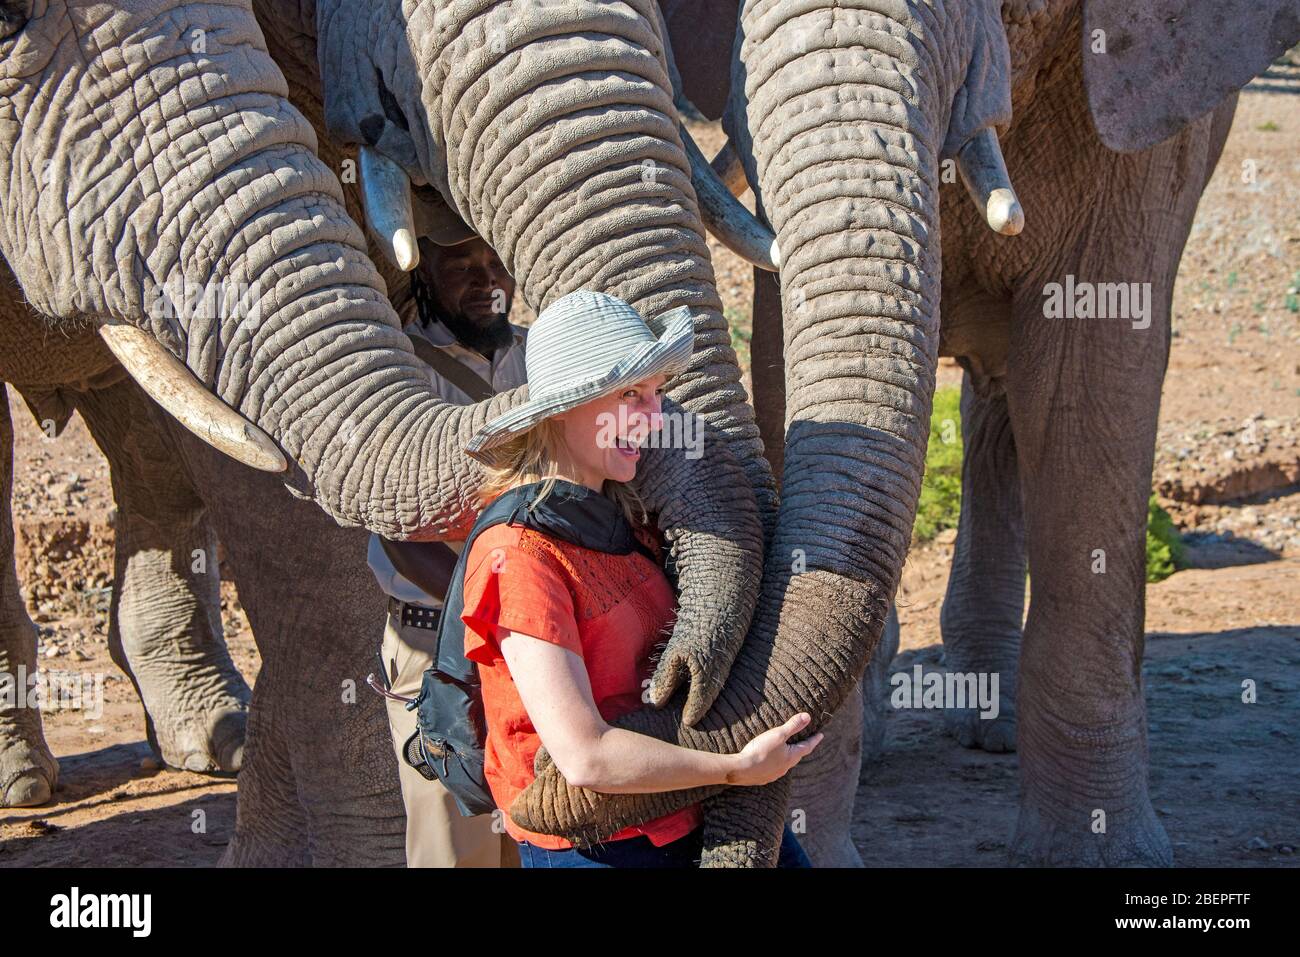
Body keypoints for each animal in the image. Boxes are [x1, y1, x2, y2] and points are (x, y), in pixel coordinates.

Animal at [507, 0, 1300, 867]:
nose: (665, 690)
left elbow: (1093, 375)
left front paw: (1102, 851)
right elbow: (786, 348)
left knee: (1004, 400)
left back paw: (991, 728)